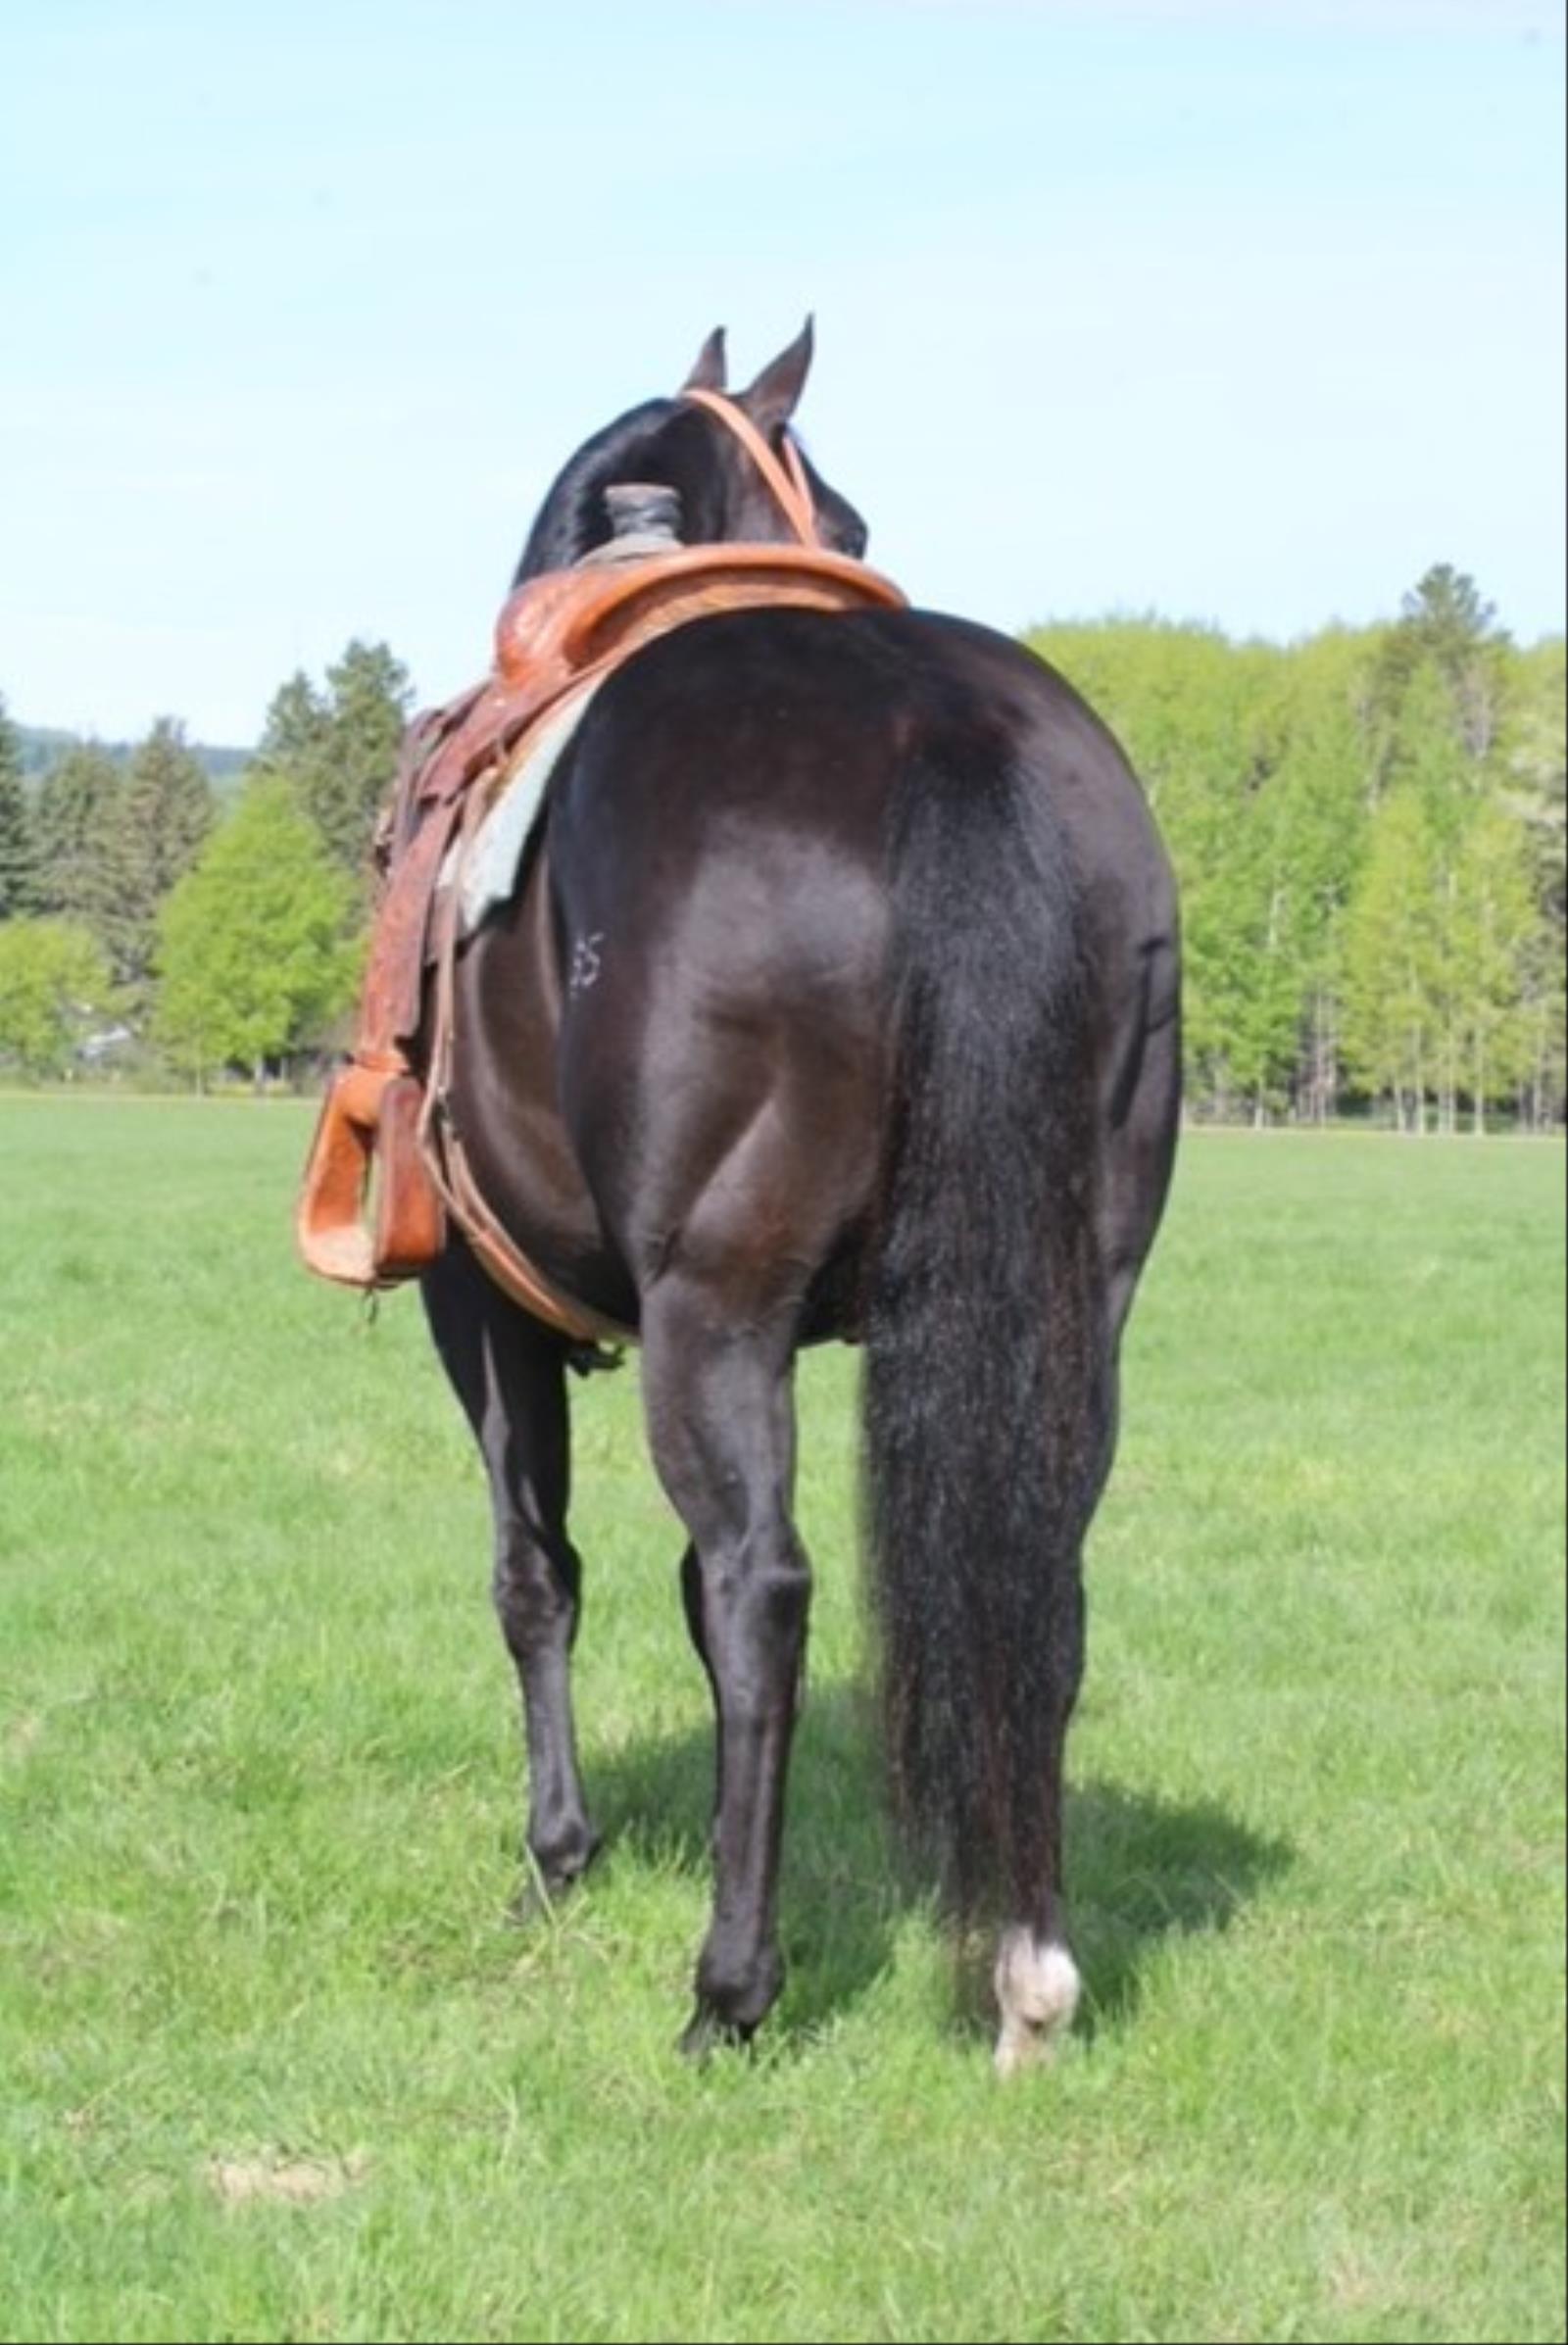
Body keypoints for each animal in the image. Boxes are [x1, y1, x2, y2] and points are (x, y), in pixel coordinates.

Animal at [414, 322, 1181, 2071]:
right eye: (852, 515)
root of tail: (939, 724)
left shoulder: (476, 1299)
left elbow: (540, 1574)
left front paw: (558, 1858)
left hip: (717, 1306)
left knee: (761, 1590)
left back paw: (729, 1988)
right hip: (1076, 1301)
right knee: (1042, 1577)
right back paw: (1027, 1975)